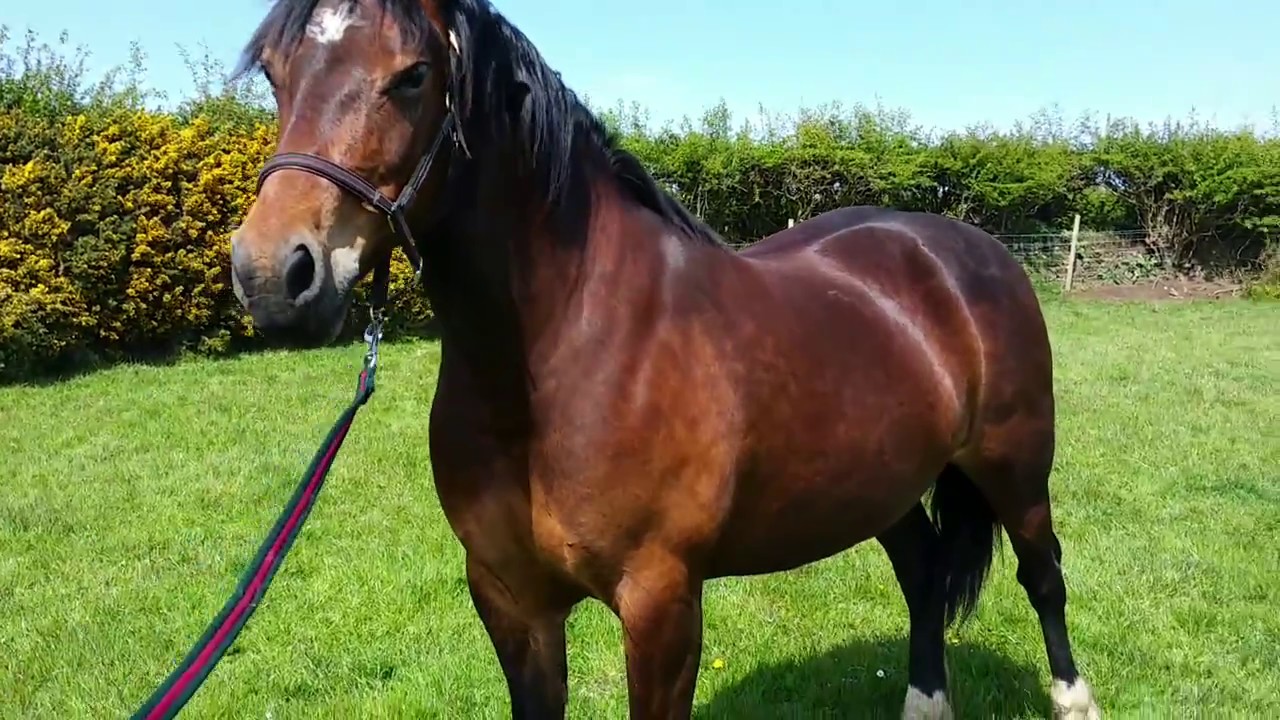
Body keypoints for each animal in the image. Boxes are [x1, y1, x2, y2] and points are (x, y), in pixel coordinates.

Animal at [226, 1, 1102, 718]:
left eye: (412, 77)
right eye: (275, 74)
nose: (273, 274)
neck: (563, 354)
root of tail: (964, 248)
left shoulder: (660, 603)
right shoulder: (512, 602)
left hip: (1016, 466)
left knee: (1043, 576)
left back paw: (1074, 700)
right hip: (881, 483)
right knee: (923, 577)